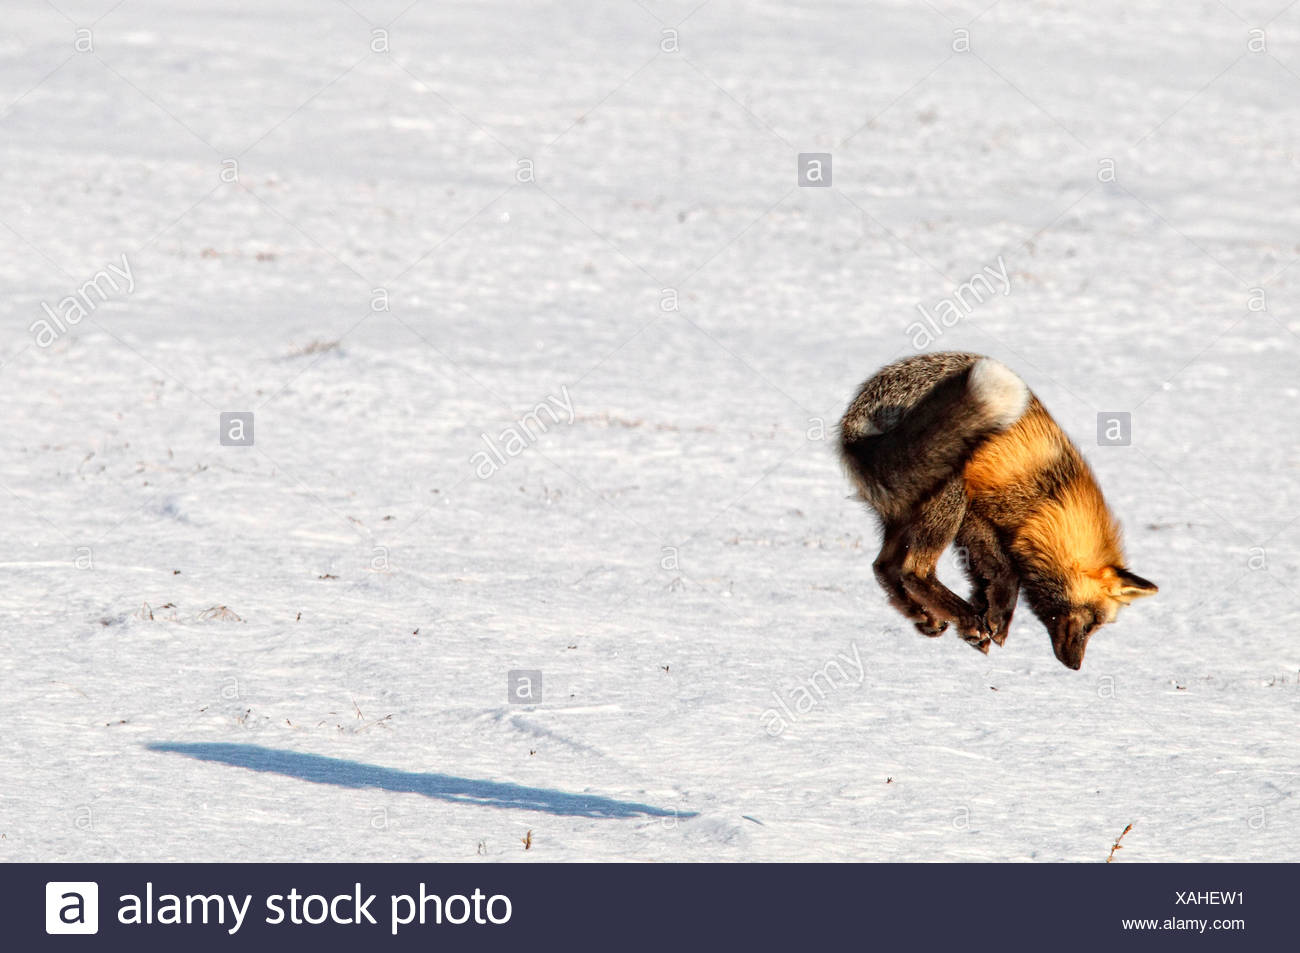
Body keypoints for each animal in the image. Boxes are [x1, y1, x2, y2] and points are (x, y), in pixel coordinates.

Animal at [838, 352, 1157, 670]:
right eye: (1091, 623)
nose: (1075, 665)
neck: (1052, 497)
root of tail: (857, 416)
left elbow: (989, 577)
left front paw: (985, 618)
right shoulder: (979, 515)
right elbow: (1008, 571)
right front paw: (991, 621)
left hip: (901, 512)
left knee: (883, 566)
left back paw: (926, 617)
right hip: (949, 500)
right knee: (912, 570)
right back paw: (962, 615)